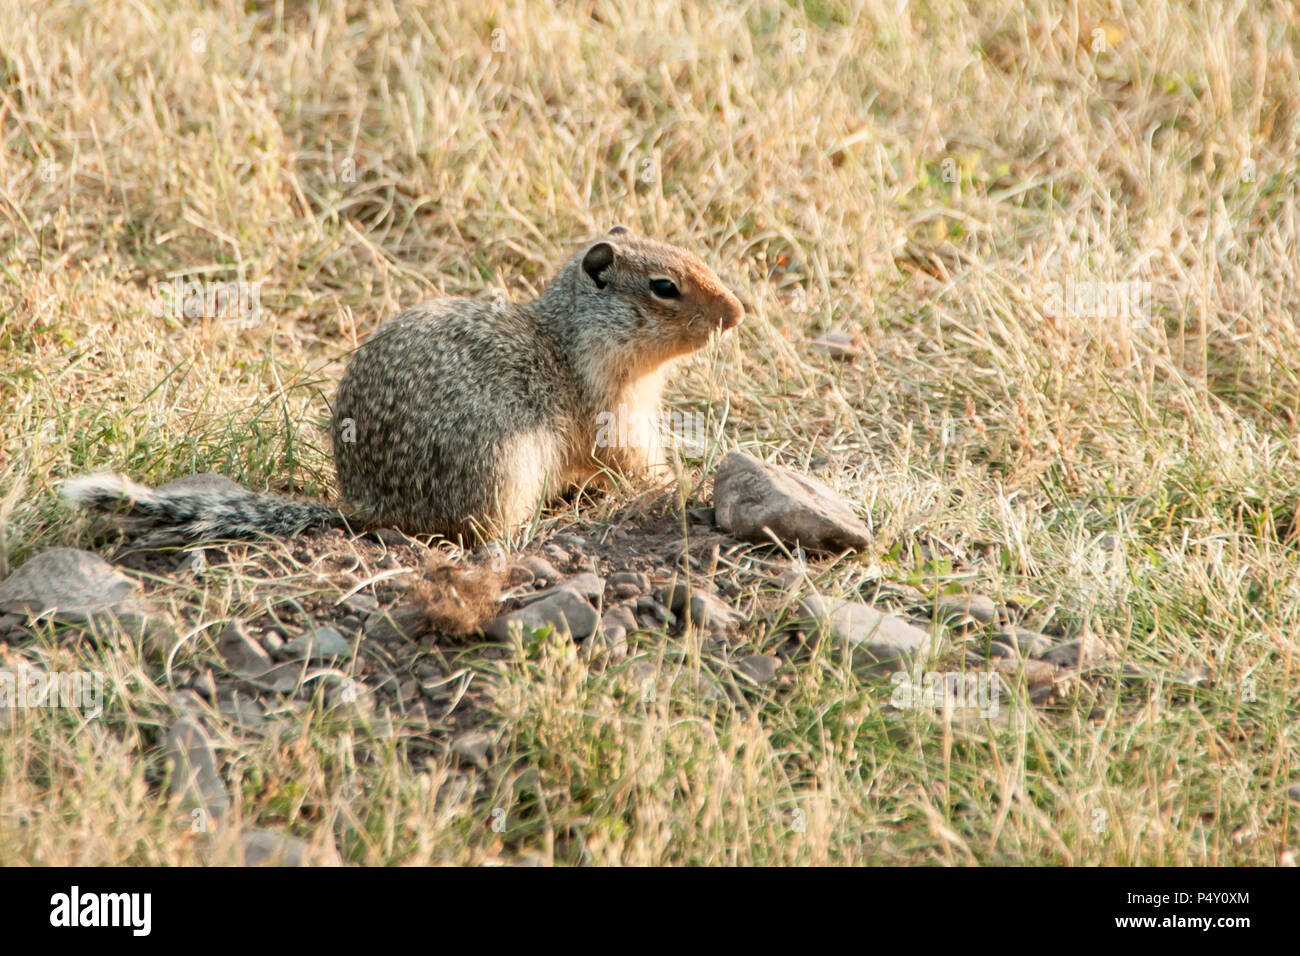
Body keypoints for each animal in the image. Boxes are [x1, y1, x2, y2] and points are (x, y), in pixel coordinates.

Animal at [63, 226, 744, 544]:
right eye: (664, 287)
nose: (737, 313)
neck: (576, 334)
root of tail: (373, 506)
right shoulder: (613, 415)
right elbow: (633, 464)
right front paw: (680, 484)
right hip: (503, 471)